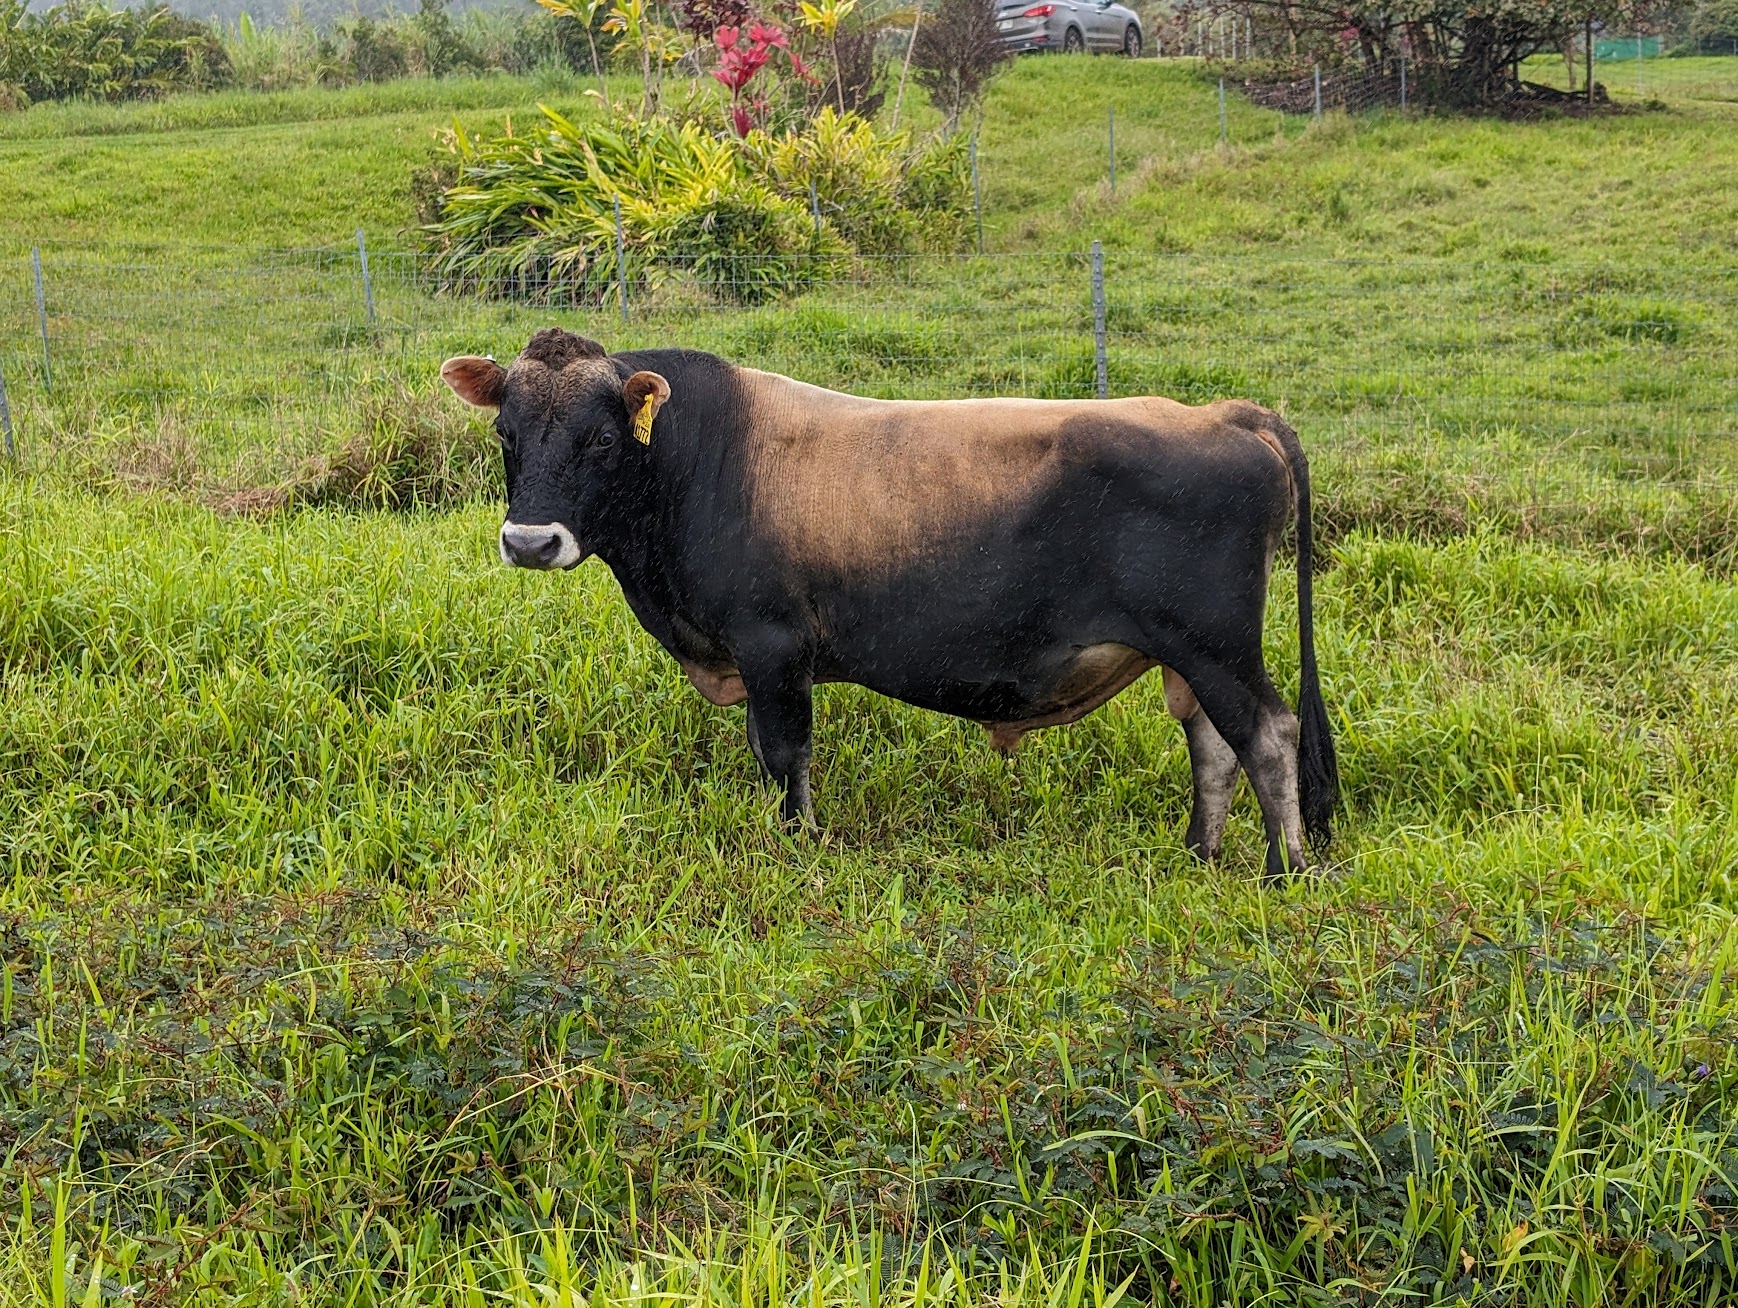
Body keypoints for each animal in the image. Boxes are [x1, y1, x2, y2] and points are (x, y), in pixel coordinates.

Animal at [440, 329, 1338, 875]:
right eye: (505, 435)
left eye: (600, 437)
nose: (530, 542)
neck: (692, 462)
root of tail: (1221, 414)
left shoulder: (772, 647)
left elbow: (785, 755)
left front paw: (796, 843)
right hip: (1190, 654)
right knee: (1213, 744)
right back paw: (1199, 854)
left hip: (1213, 644)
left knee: (1266, 734)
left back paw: (1283, 870)